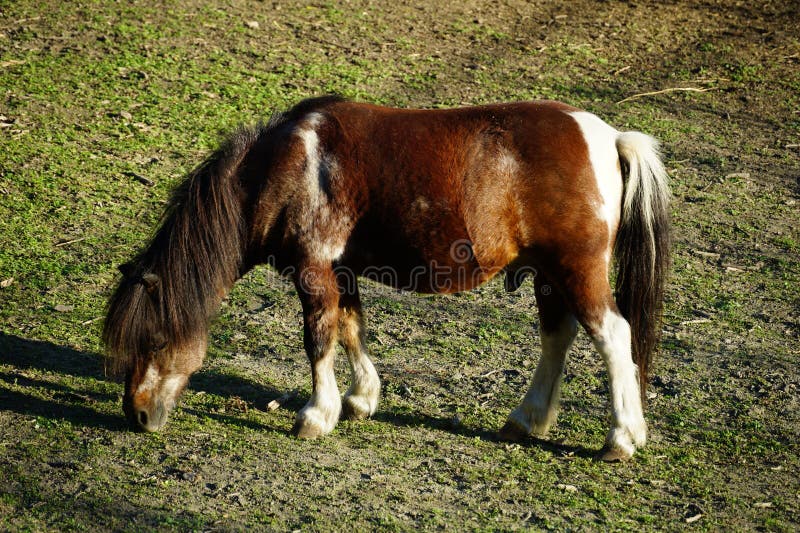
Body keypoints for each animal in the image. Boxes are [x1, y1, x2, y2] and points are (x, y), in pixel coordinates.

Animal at [103, 95, 670, 461]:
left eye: (155, 340)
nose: (137, 415)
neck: (285, 168)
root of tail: (609, 138)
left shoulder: (314, 270)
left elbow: (319, 339)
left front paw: (317, 415)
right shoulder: (341, 270)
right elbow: (352, 328)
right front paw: (360, 400)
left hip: (576, 270)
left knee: (613, 337)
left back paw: (621, 439)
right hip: (548, 275)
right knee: (559, 337)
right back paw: (526, 420)